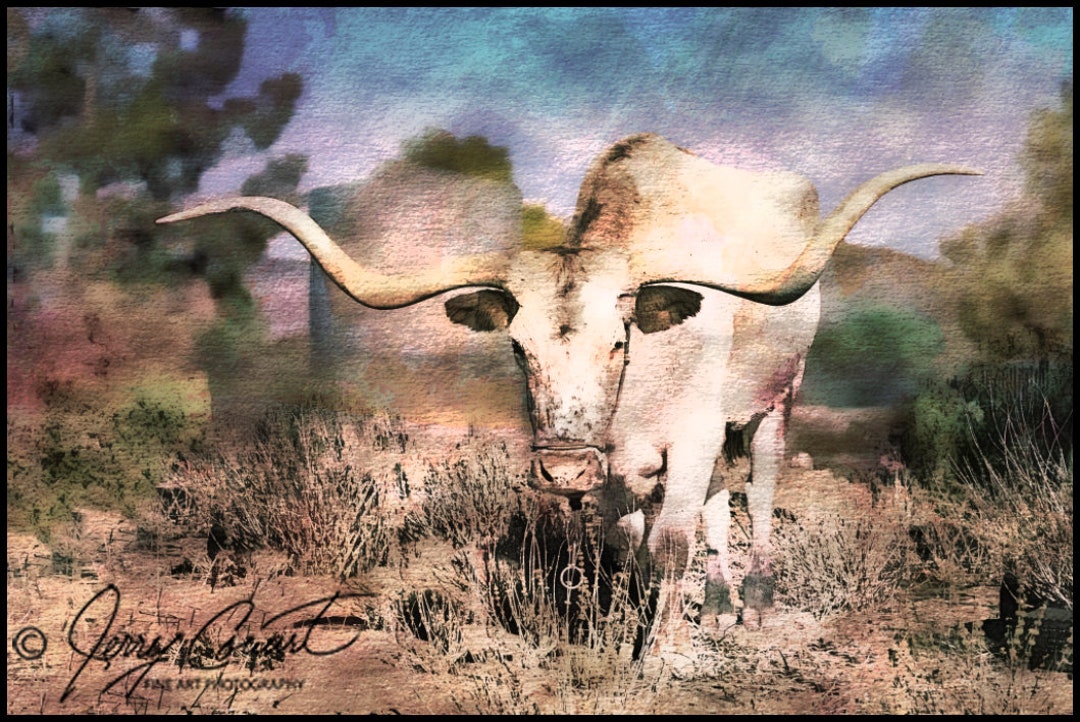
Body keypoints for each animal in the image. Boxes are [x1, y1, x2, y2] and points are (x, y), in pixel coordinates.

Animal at [158, 133, 976, 650]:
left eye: (618, 340)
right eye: (519, 349)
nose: (562, 469)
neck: (636, 391)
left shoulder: (692, 432)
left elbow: (669, 545)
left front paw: (656, 654)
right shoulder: (624, 467)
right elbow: (628, 547)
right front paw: (624, 630)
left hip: (775, 400)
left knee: (762, 487)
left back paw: (753, 602)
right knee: (718, 501)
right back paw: (716, 605)